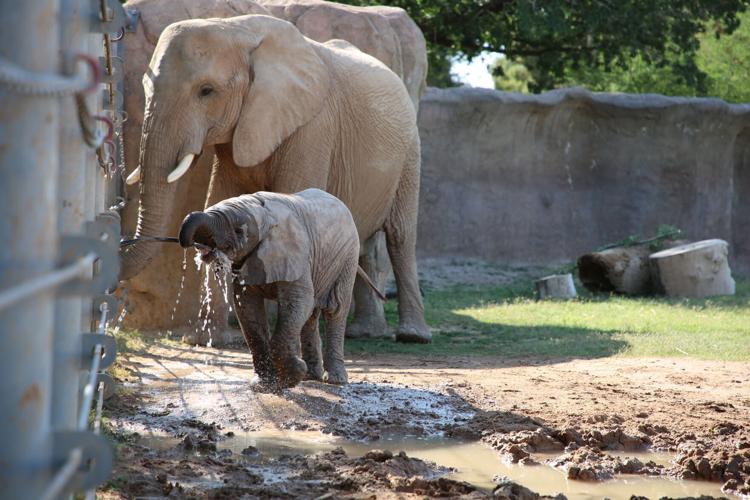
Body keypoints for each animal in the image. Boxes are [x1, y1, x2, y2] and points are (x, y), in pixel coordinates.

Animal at [119, 0, 428, 344]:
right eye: (146, 88)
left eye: (206, 91)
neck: (240, 30)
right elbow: (220, 199)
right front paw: (208, 340)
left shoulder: (313, 127)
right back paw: (362, 332)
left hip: (410, 150)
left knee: (400, 235)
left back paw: (412, 336)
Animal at [179, 189, 367, 388]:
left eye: (239, 231)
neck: (263, 210)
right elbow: (248, 308)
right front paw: (263, 385)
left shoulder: (295, 253)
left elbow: (298, 300)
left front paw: (291, 377)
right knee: (310, 316)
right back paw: (310, 376)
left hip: (348, 257)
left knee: (335, 309)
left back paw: (334, 379)